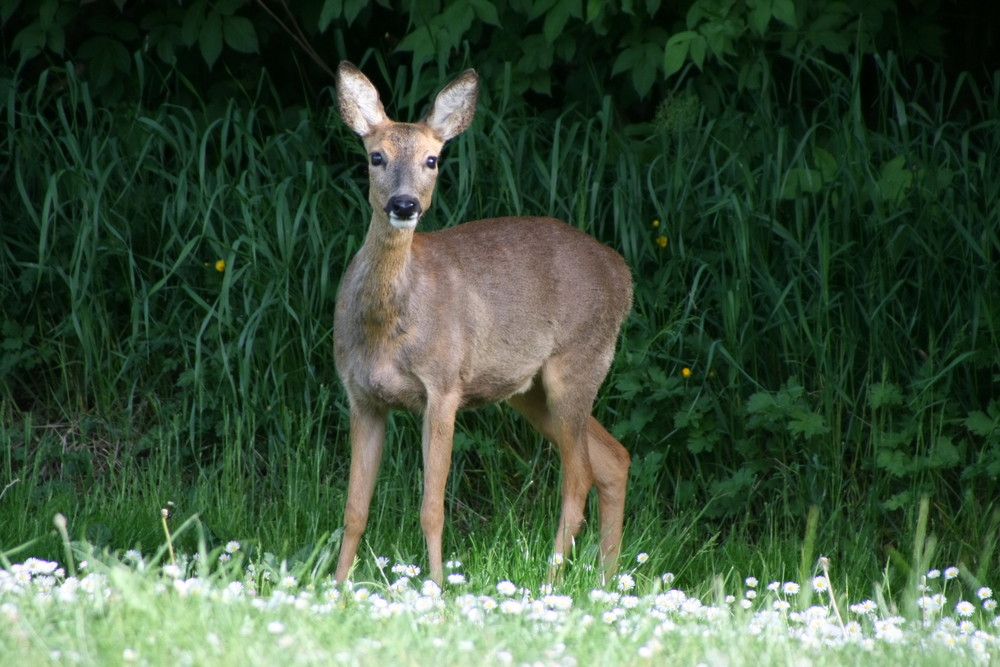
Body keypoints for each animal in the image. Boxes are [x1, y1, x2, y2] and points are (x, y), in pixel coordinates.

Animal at [332, 61, 633, 586]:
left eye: (433, 159)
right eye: (375, 156)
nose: (405, 205)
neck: (388, 329)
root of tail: (624, 275)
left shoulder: (443, 387)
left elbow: (432, 507)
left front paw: (436, 587)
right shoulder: (362, 396)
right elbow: (354, 510)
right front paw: (333, 587)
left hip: (576, 363)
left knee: (578, 476)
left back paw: (552, 583)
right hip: (529, 390)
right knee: (613, 459)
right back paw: (605, 581)